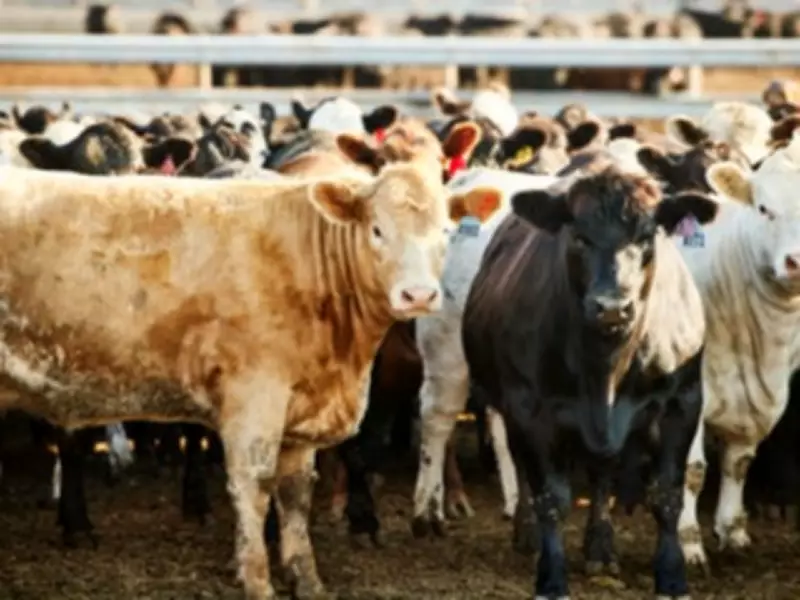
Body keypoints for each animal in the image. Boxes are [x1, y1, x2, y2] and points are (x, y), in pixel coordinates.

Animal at [0, 161, 501, 599]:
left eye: (445, 232)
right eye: (377, 230)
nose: (419, 295)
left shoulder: (300, 415)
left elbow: (296, 495)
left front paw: (306, 579)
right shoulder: (255, 399)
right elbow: (254, 489)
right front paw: (256, 580)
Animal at [458, 161, 719, 598]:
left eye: (646, 237)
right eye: (579, 237)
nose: (612, 307)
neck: (606, 371)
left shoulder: (682, 402)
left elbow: (666, 495)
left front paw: (671, 575)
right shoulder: (531, 409)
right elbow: (550, 498)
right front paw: (551, 577)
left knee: (602, 473)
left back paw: (600, 546)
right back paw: (527, 531)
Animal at [676, 133, 800, 571]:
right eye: (764, 208)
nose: (796, 262)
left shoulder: (761, 398)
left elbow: (740, 462)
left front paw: (732, 531)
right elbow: (692, 470)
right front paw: (688, 543)